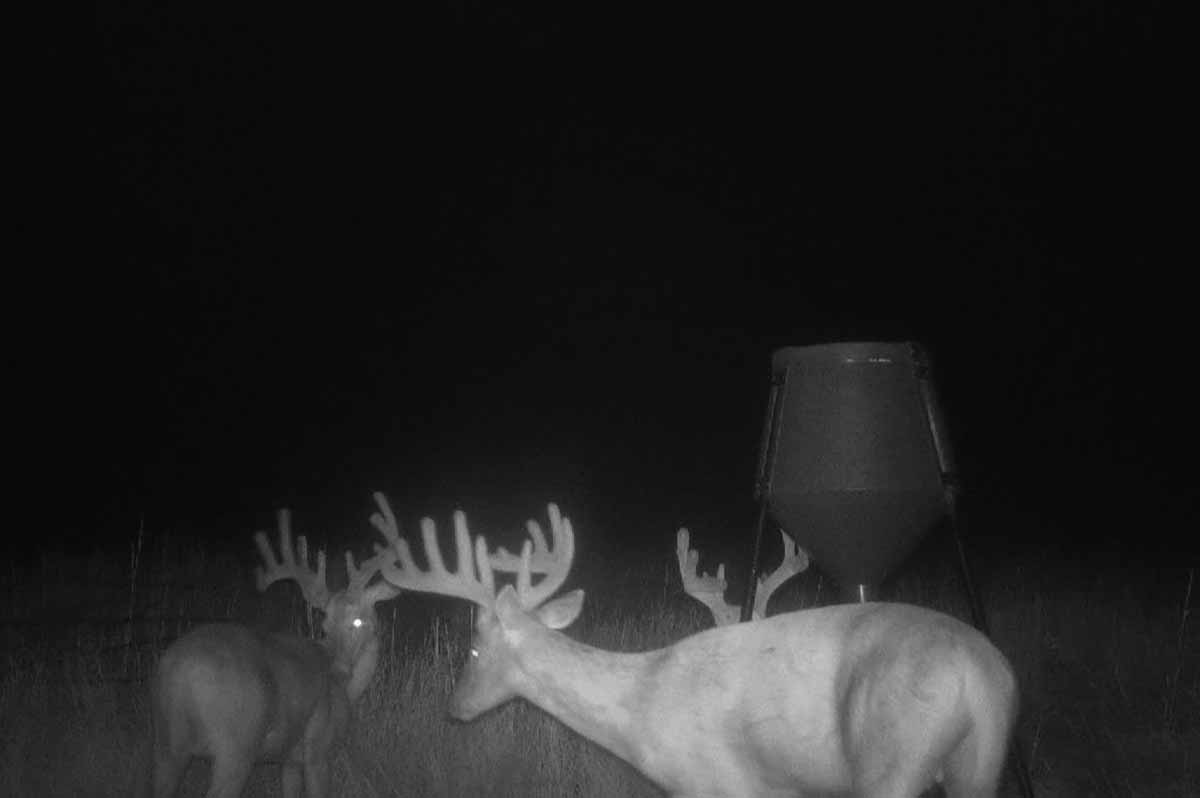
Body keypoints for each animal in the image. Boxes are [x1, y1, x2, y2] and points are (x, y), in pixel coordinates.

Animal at [148, 507, 401, 798]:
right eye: (326, 624)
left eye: (354, 622)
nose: (339, 669)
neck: (349, 689)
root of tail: (179, 669)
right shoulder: (318, 751)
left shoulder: (289, 759)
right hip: (235, 748)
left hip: (165, 744)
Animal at [368, 491, 1019, 798]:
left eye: (474, 651)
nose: (454, 708)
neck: (639, 710)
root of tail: (981, 674)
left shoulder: (712, 781)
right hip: (981, 762)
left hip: (891, 759)